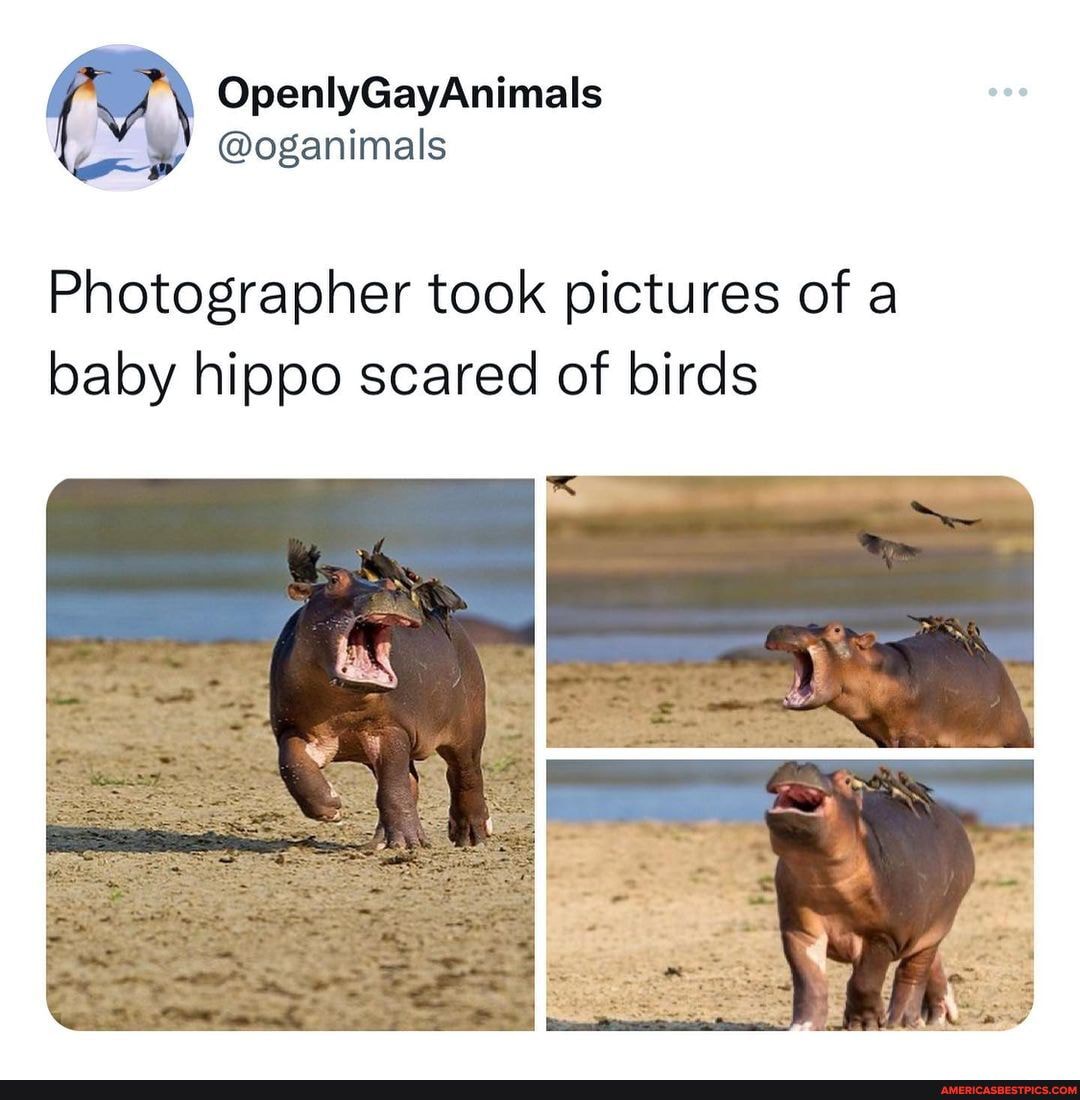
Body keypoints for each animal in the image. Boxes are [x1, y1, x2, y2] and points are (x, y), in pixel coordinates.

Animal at [270, 539, 491, 849]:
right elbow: (292, 764)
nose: (392, 592)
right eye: (334, 580)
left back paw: (471, 837)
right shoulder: (291, 727)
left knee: (465, 774)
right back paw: (379, 841)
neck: (342, 705)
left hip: (468, 729)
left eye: (389, 583)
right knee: (412, 782)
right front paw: (330, 807)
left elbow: (393, 786)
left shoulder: (392, 728)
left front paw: (408, 844)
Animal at [764, 621, 1031, 748]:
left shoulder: (915, 737)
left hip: (1018, 732)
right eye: (811, 623)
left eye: (836, 629)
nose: (780, 628)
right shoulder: (880, 738)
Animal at [765, 762, 975, 1030]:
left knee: (914, 970)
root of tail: (953, 819)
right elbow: (809, 981)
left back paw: (902, 1021)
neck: (822, 875)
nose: (800, 764)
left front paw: (865, 1024)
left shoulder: (882, 935)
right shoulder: (800, 931)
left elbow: (864, 981)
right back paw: (937, 1016)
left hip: (937, 925)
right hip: (919, 926)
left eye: (846, 780)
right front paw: (803, 1027)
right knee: (930, 962)